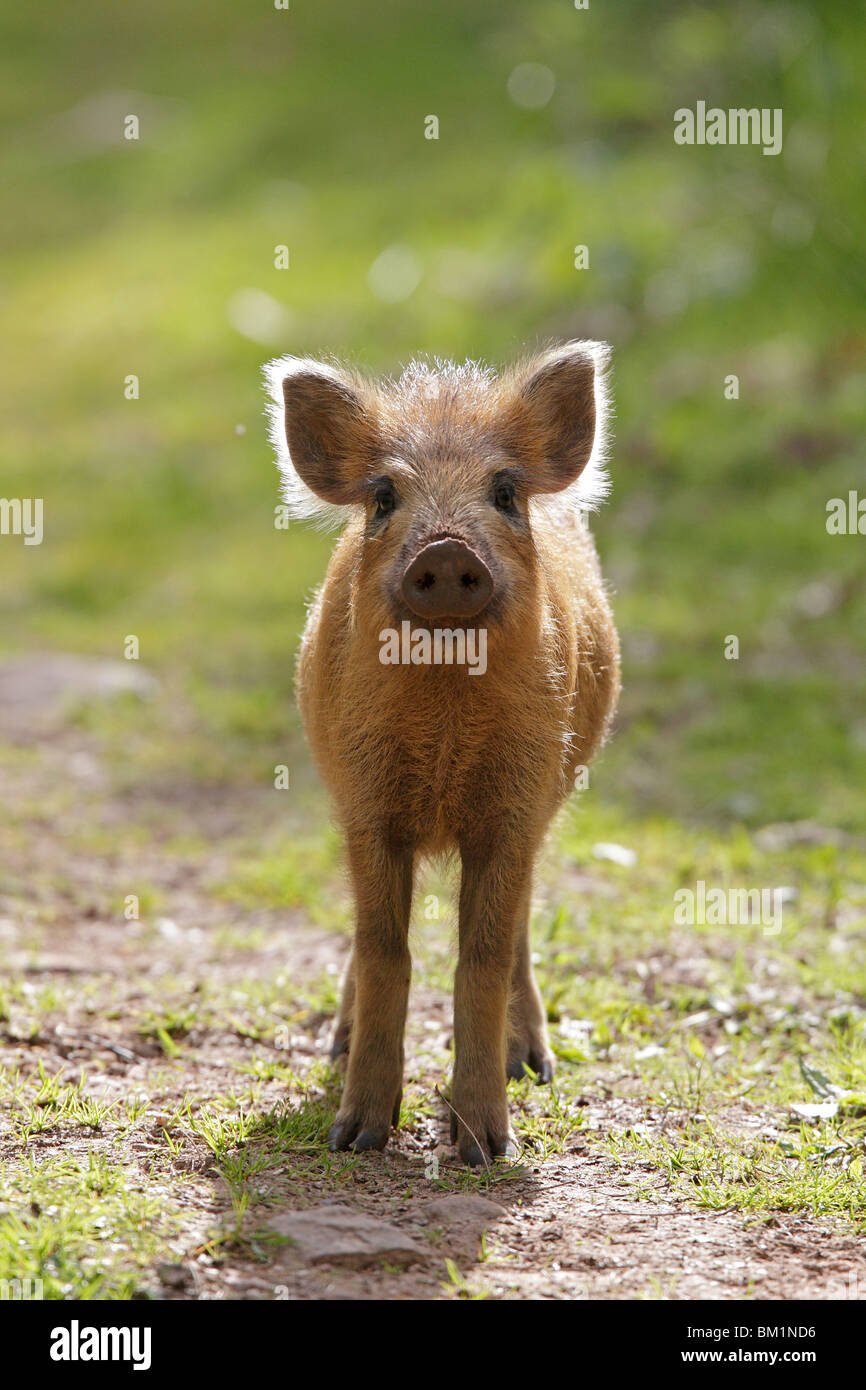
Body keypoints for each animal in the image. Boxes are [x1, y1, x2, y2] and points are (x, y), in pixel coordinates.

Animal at [265, 341, 620, 1165]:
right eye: (384, 496)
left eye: (505, 492)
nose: (449, 547)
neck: (445, 733)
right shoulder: (365, 808)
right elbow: (385, 950)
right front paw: (356, 1139)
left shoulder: (516, 809)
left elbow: (480, 958)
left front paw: (486, 1149)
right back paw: (337, 1048)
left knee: (518, 931)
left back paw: (535, 1065)